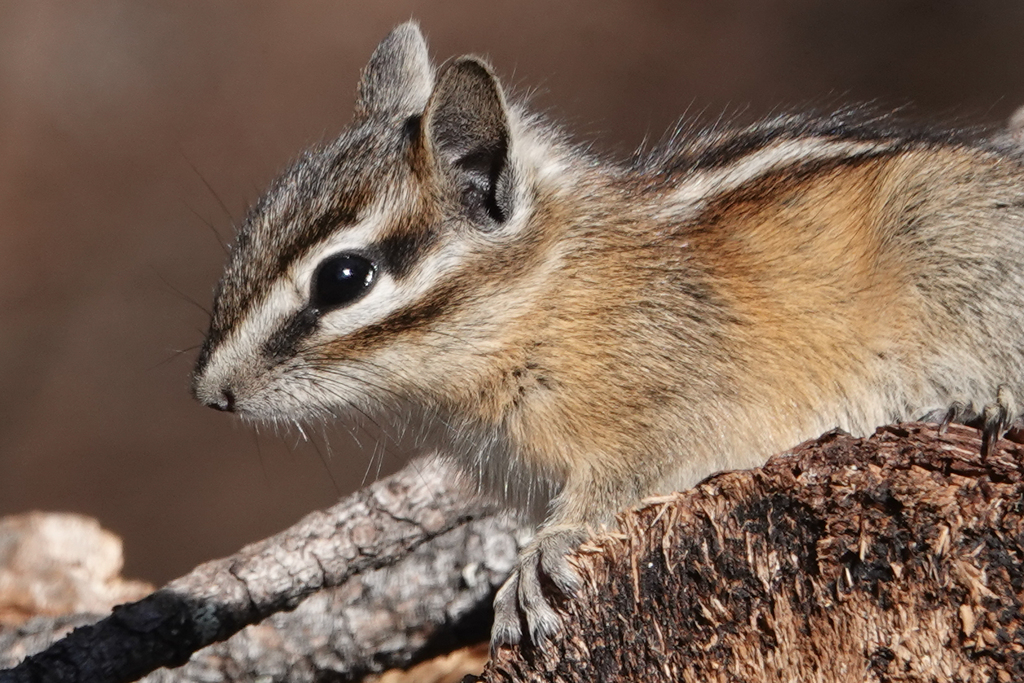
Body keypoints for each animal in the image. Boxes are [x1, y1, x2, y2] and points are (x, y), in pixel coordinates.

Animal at [191, 22, 1024, 648]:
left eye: (344, 278)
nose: (209, 392)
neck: (544, 292)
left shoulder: (672, 405)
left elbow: (625, 478)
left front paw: (539, 558)